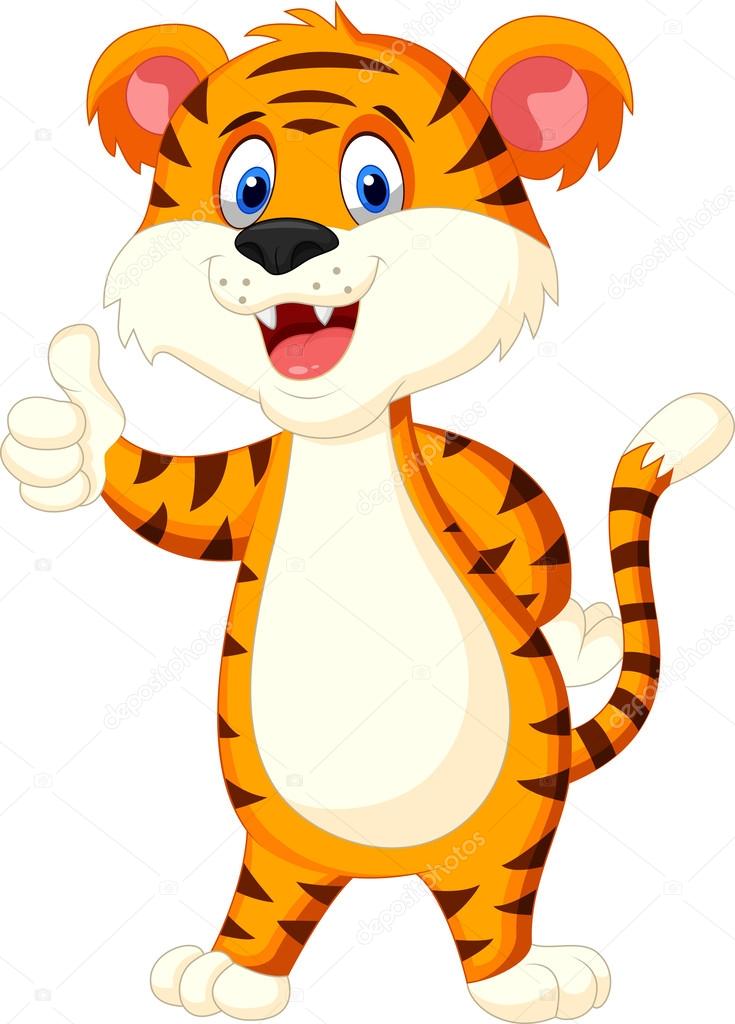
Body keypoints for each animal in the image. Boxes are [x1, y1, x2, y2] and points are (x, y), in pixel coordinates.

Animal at [2, 6, 732, 1021]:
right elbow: (167, 494)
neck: (338, 441)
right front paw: (71, 437)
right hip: (282, 838)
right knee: (271, 899)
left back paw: (522, 973)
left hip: (508, 813)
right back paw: (233, 969)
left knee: (493, 902)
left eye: (373, 184)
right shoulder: (249, 484)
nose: (279, 243)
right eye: (247, 186)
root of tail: (390, 862)